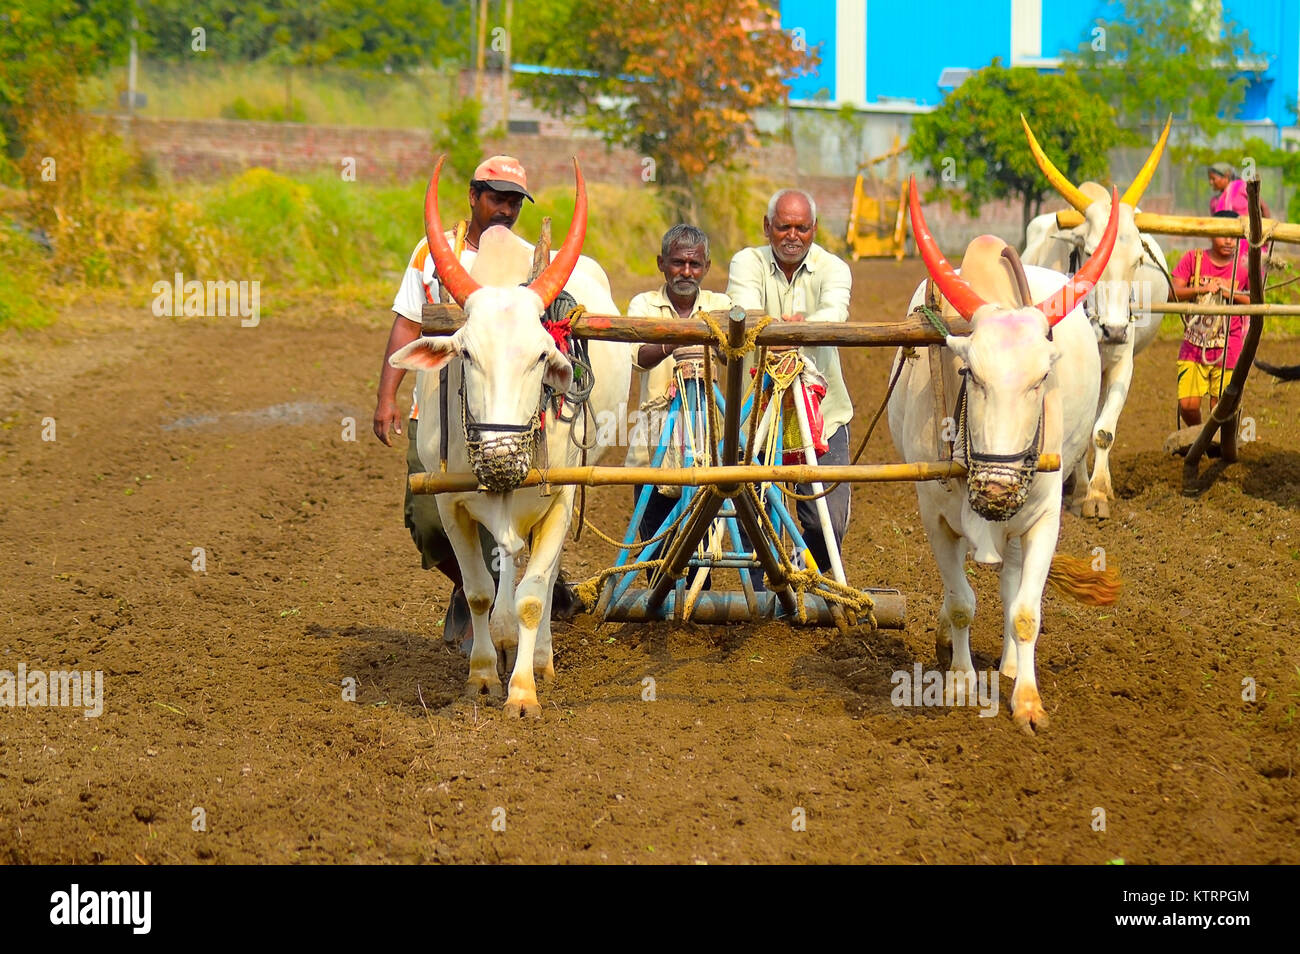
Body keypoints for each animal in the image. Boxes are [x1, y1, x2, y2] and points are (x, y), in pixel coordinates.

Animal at [389, 156, 631, 719]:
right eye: (466, 353)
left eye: (542, 354)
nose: (501, 460)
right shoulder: (451, 502)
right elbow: (479, 591)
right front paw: (481, 675)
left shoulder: (560, 497)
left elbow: (532, 596)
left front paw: (523, 691)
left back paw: (538, 655)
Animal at [889, 178, 1119, 732]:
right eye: (971, 373)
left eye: (1042, 378)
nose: (996, 486)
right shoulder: (935, 517)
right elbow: (961, 604)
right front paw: (959, 682)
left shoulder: (1045, 517)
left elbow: (1025, 611)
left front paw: (1028, 701)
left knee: (1013, 579)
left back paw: (1014, 665)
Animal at [1021, 115, 1172, 519]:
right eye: (1089, 252)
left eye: (1138, 259)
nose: (1114, 329)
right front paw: (1079, 491)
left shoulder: (1122, 362)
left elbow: (1103, 431)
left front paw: (1099, 494)